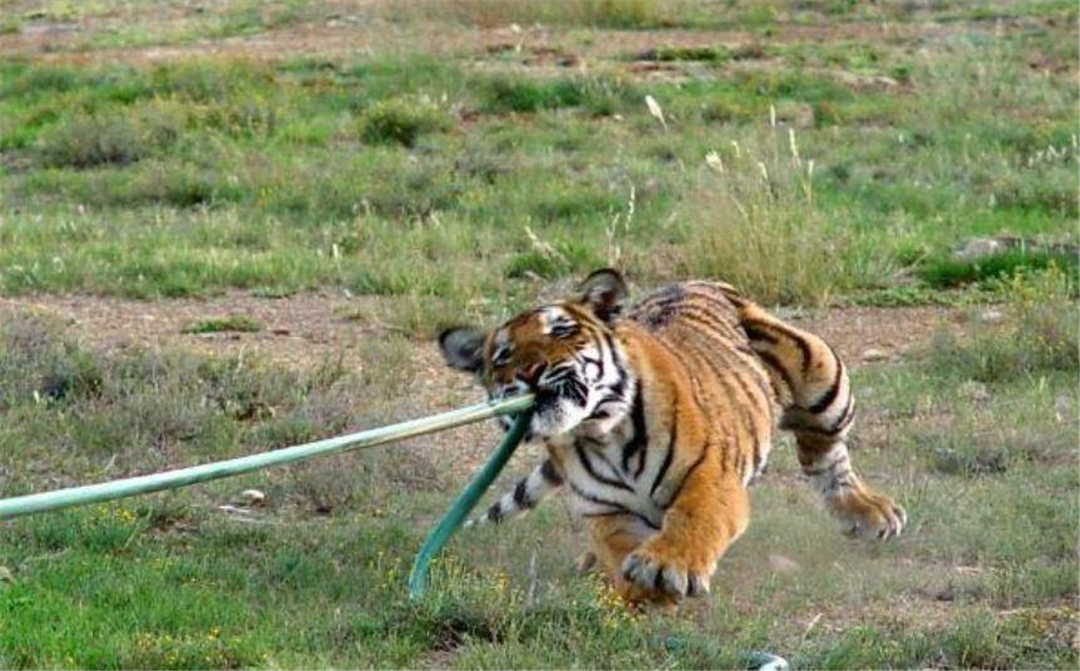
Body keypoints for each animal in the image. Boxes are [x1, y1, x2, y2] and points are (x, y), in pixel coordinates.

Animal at [438, 269, 905, 606]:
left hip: (820, 373)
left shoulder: (711, 474)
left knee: (824, 453)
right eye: (503, 355)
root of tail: (699, 281)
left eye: (561, 331)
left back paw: (869, 512)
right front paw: (637, 582)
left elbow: (694, 518)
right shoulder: (606, 511)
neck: (596, 432)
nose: (531, 371)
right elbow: (619, 545)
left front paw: (664, 568)